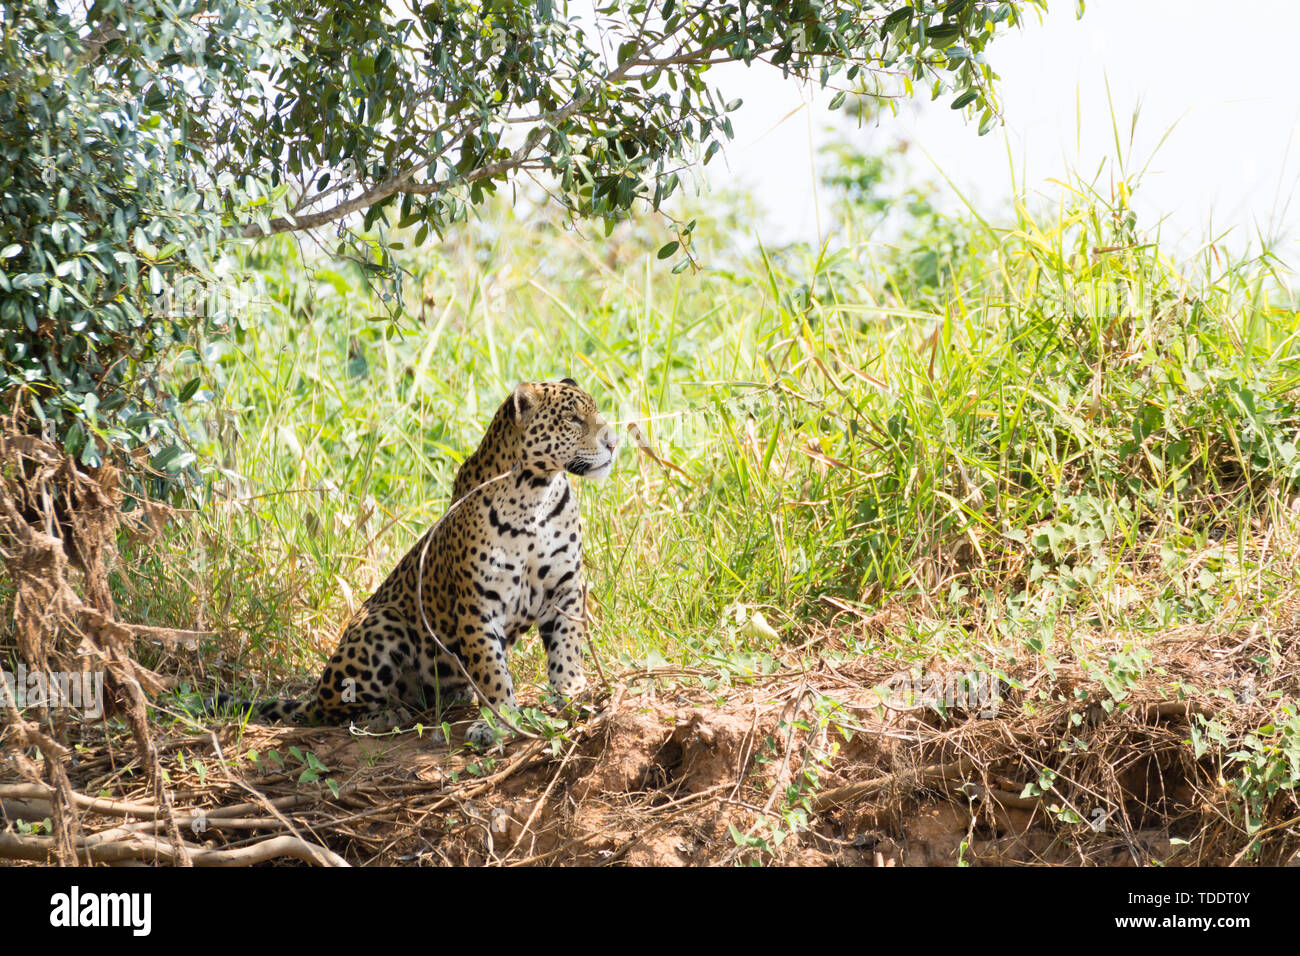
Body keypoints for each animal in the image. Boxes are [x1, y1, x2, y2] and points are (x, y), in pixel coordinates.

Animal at [213, 378, 617, 748]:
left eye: (594, 412)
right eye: (573, 419)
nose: (614, 442)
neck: (535, 495)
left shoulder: (564, 588)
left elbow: (567, 646)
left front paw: (571, 692)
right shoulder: (477, 604)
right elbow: (491, 669)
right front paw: (499, 720)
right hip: (382, 623)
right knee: (331, 710)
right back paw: (384, 715)